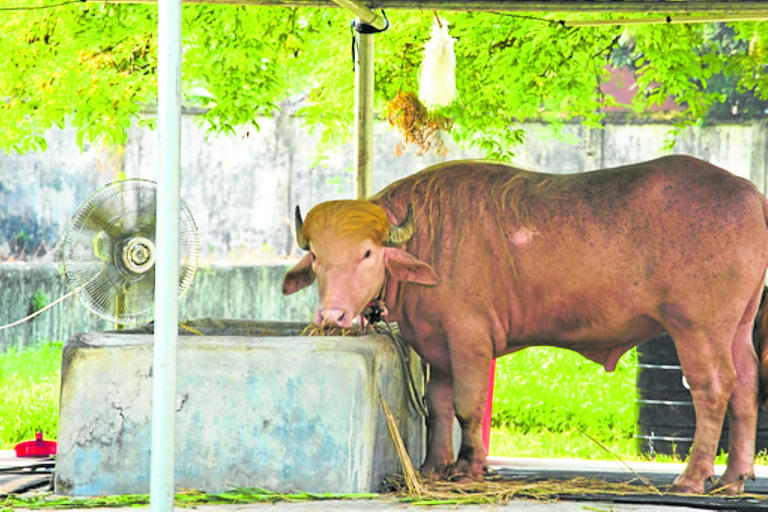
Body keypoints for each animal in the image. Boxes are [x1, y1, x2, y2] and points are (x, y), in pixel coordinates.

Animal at [282, 155, 768, 494]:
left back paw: (694, 476)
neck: (432, 239)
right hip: (738, 327)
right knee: (746, 384)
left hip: (698, 327)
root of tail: (749, 192)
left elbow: (467, 406)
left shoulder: (470, 340)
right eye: (318, 258)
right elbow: (439, 405)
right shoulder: (437, 346)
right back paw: (734, 476)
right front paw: (434, 467)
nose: (332, 316)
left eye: (366, 253)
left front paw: (468, 467)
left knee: (713, 388)